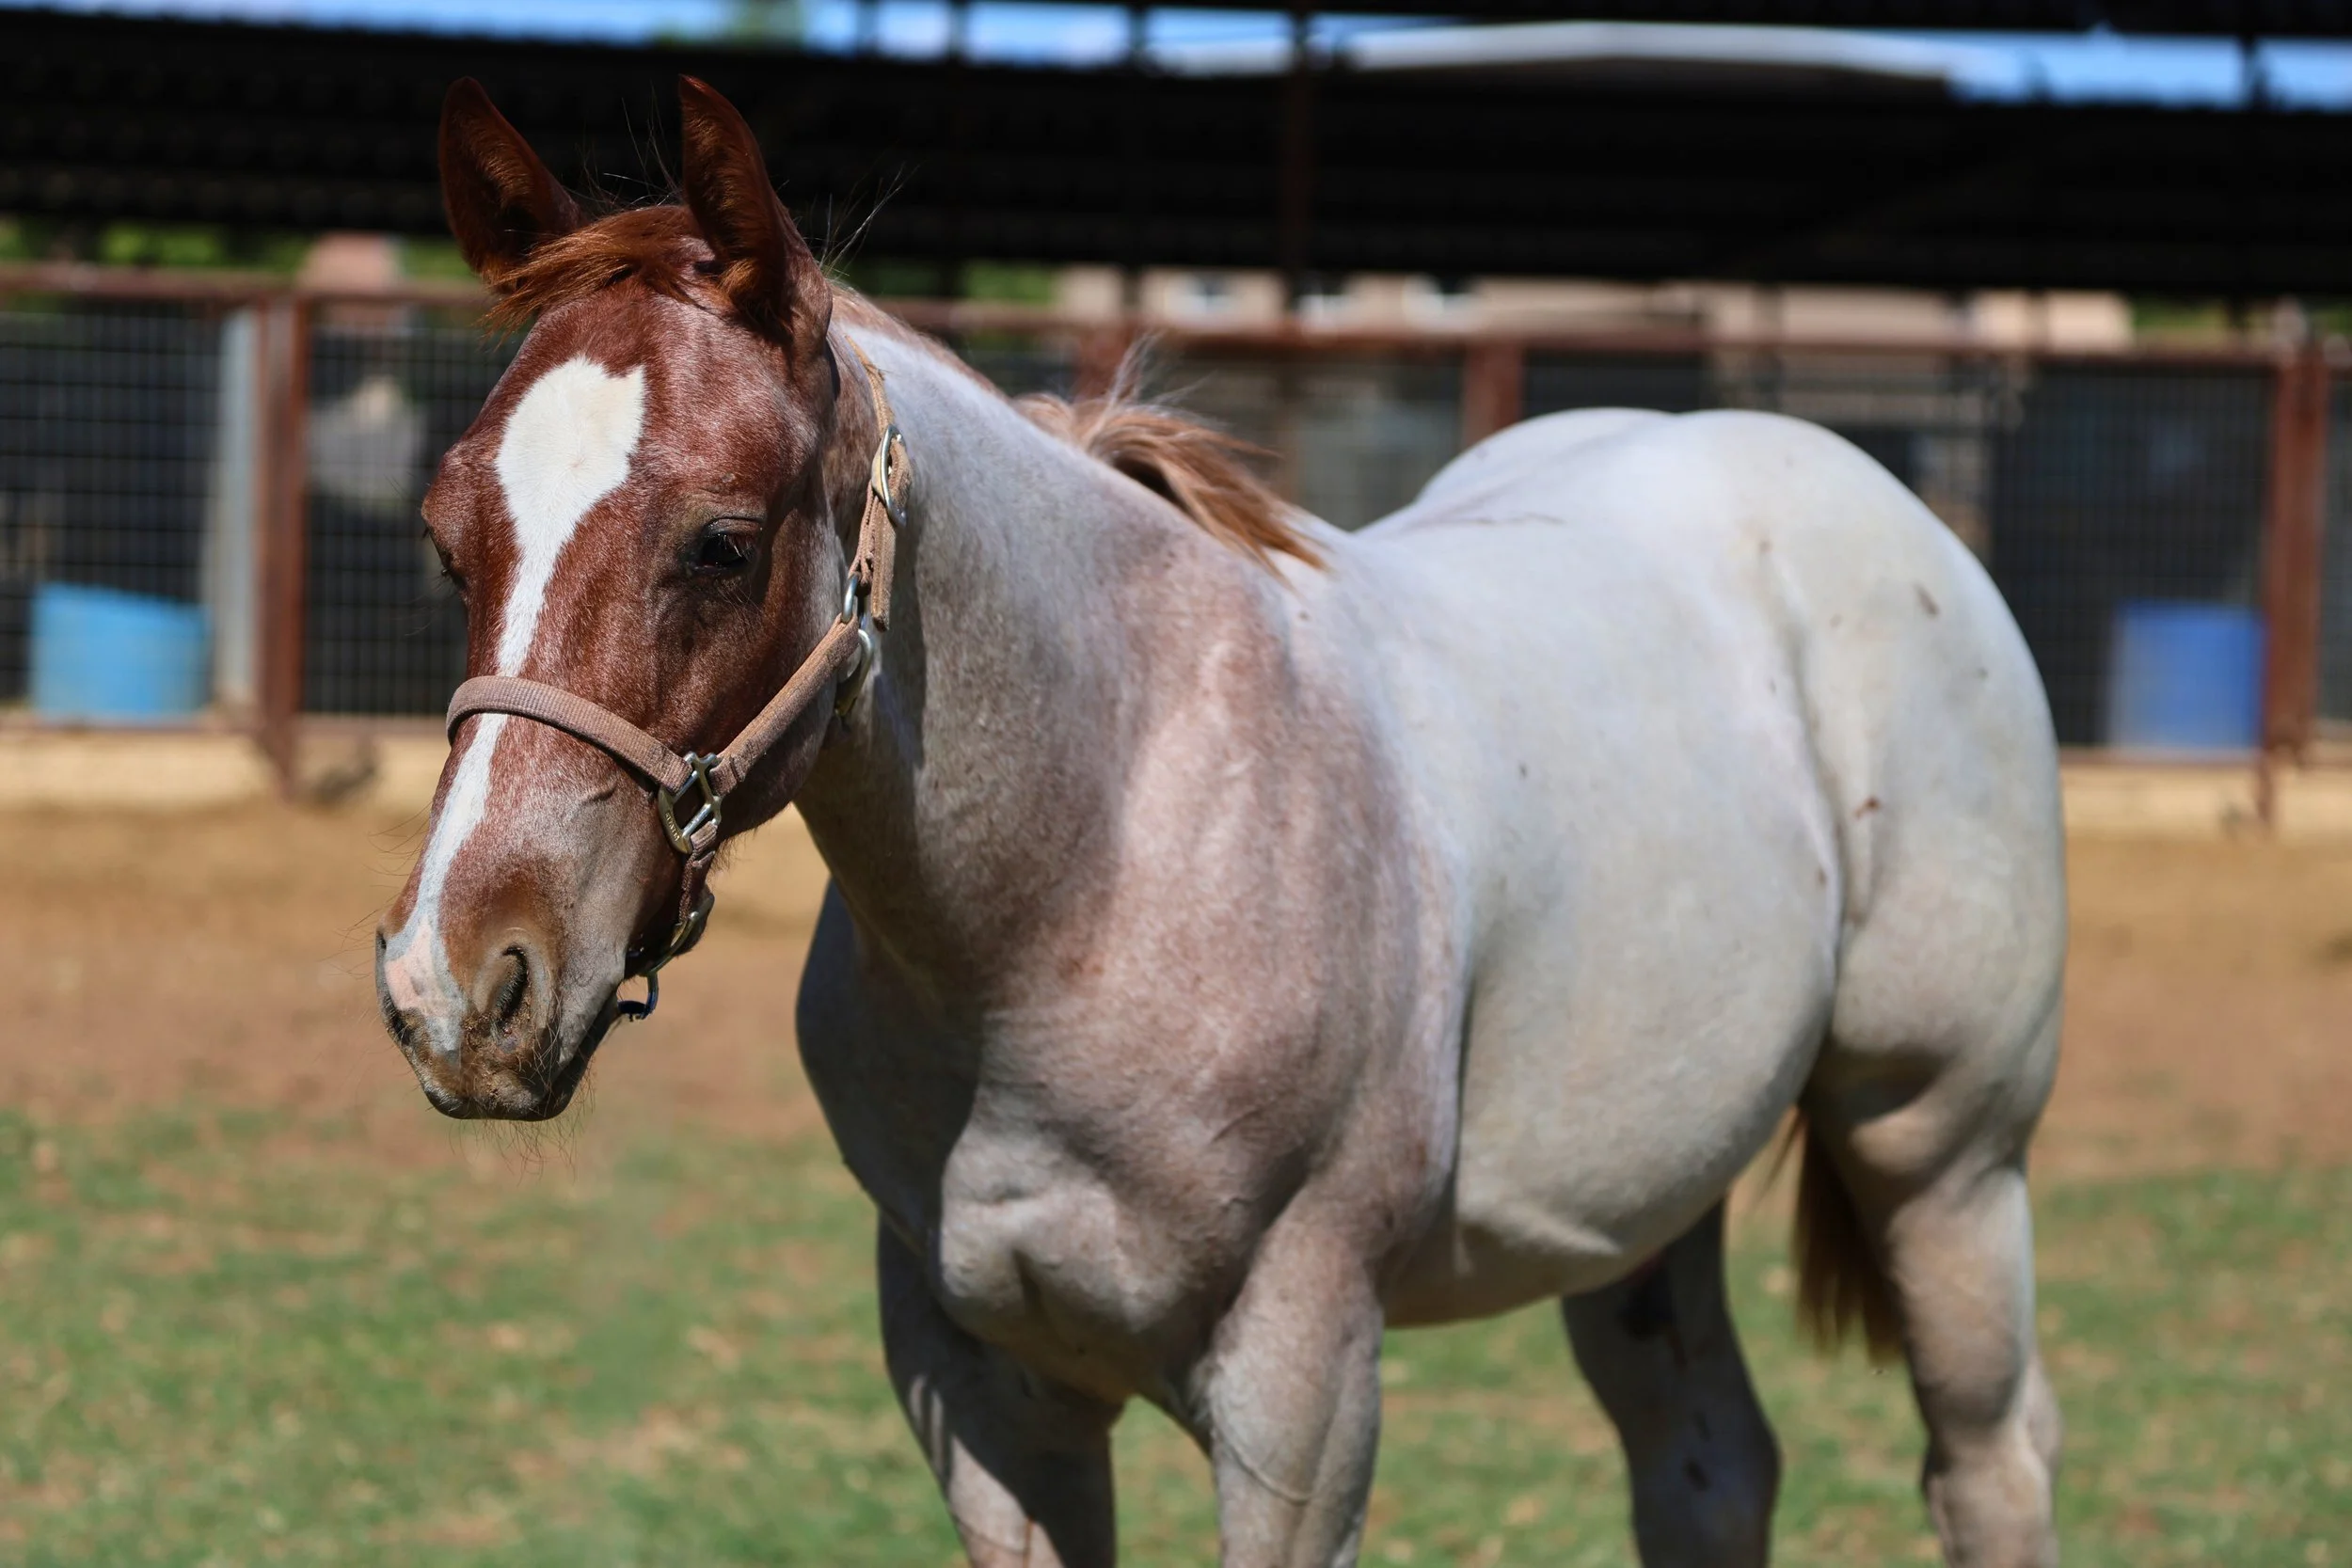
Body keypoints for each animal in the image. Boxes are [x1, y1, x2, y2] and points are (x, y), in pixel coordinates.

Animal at [376, 75, 2067, 1568]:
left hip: (1943, 1155)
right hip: (1651, 1203)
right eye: (449, 537)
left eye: (721, 542)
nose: (463, 988)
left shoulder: (1299, 1389)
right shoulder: (985, 1393)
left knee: (1988, 1459)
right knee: (1711, 1465)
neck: (1095, 867)